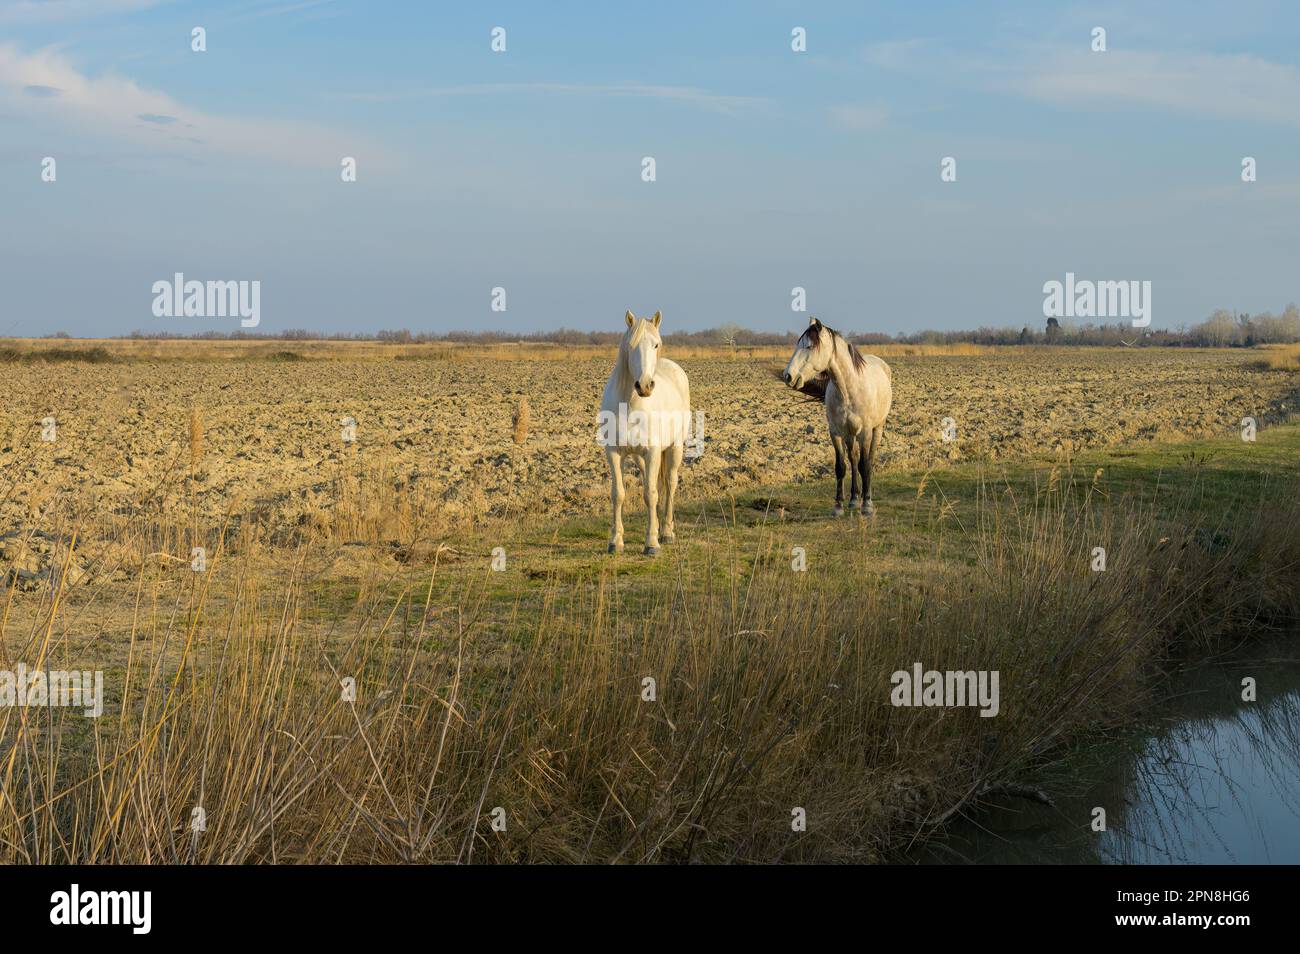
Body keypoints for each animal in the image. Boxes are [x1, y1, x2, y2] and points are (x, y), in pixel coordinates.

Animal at [598, 310, 690, 555]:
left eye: (656, 344)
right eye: (631, 346)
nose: (645, 385)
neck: (630, 403)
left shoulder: (653, 452)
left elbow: (650, 494)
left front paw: (652, 543)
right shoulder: (614, 453)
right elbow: (618, 494)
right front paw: (616, 541)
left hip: (674, 449)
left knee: (670, 483)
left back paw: (666, 532)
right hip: (640, 458)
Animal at [781, 316, 892, 516]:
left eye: (809, 346)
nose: (788, 376)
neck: (848, 389)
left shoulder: (865, 432)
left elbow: (865, 465)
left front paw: (867, 505)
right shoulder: (836, 432)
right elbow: (841, 467)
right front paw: (839, 506)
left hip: (876, 429)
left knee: (869, 460)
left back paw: (866, 498)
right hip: (849, 435)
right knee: (853, 459)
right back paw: (854, 499)